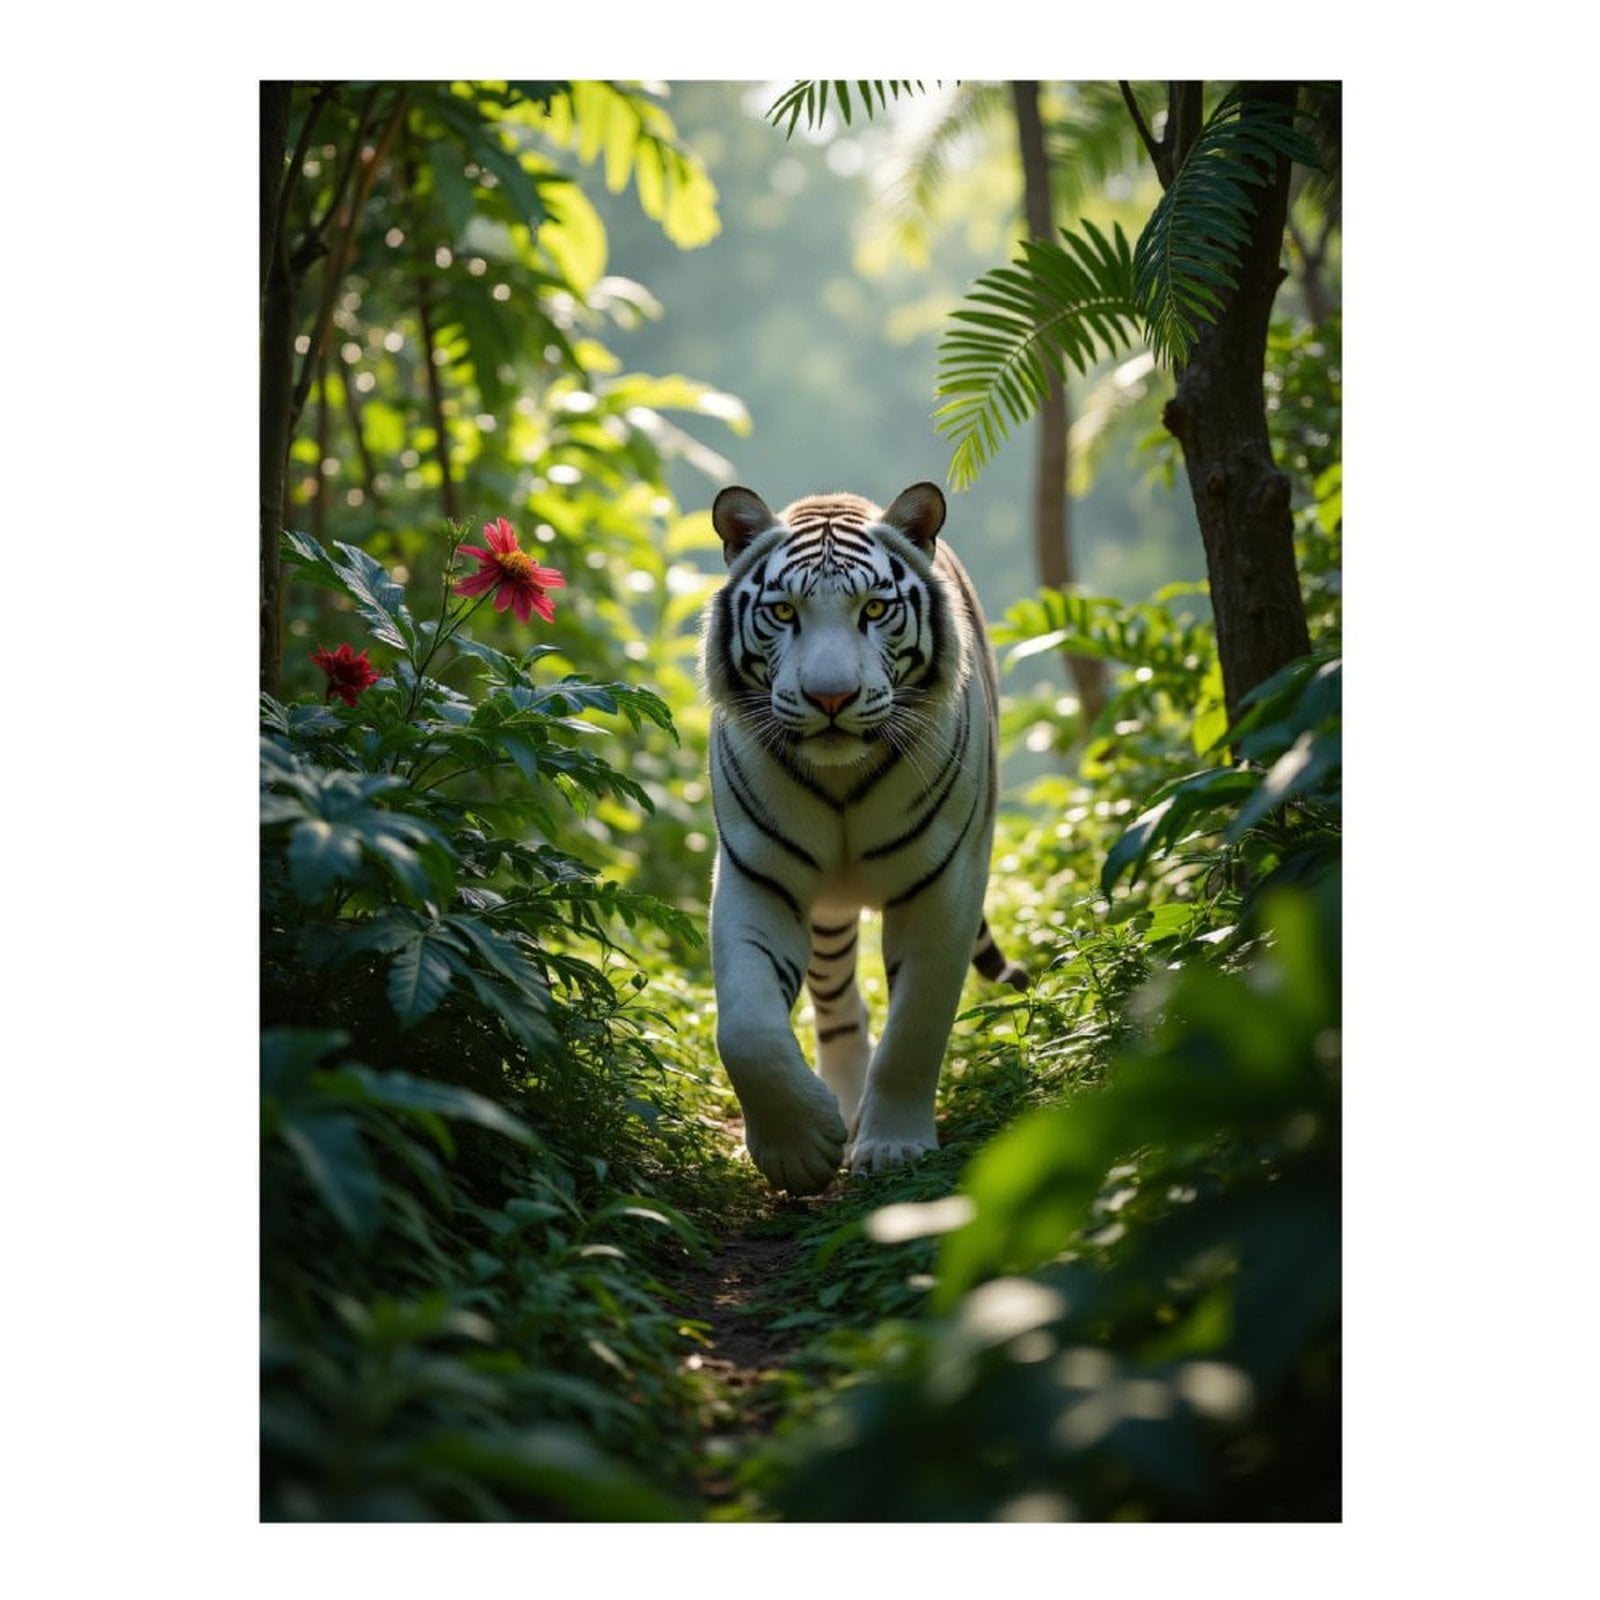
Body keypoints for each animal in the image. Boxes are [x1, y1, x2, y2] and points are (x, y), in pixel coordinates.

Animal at [702, 480, 1027, 1195]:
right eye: (784, 612)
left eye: (874, 608)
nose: (831, 698)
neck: (842, 778)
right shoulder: (757, 878)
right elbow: (745, 1027)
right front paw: (799, 1149)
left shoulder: (942, 888)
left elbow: (917, 1024)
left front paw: (894, 1147)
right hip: (824, 911)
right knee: (836, 1001)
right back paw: (842, 1107)